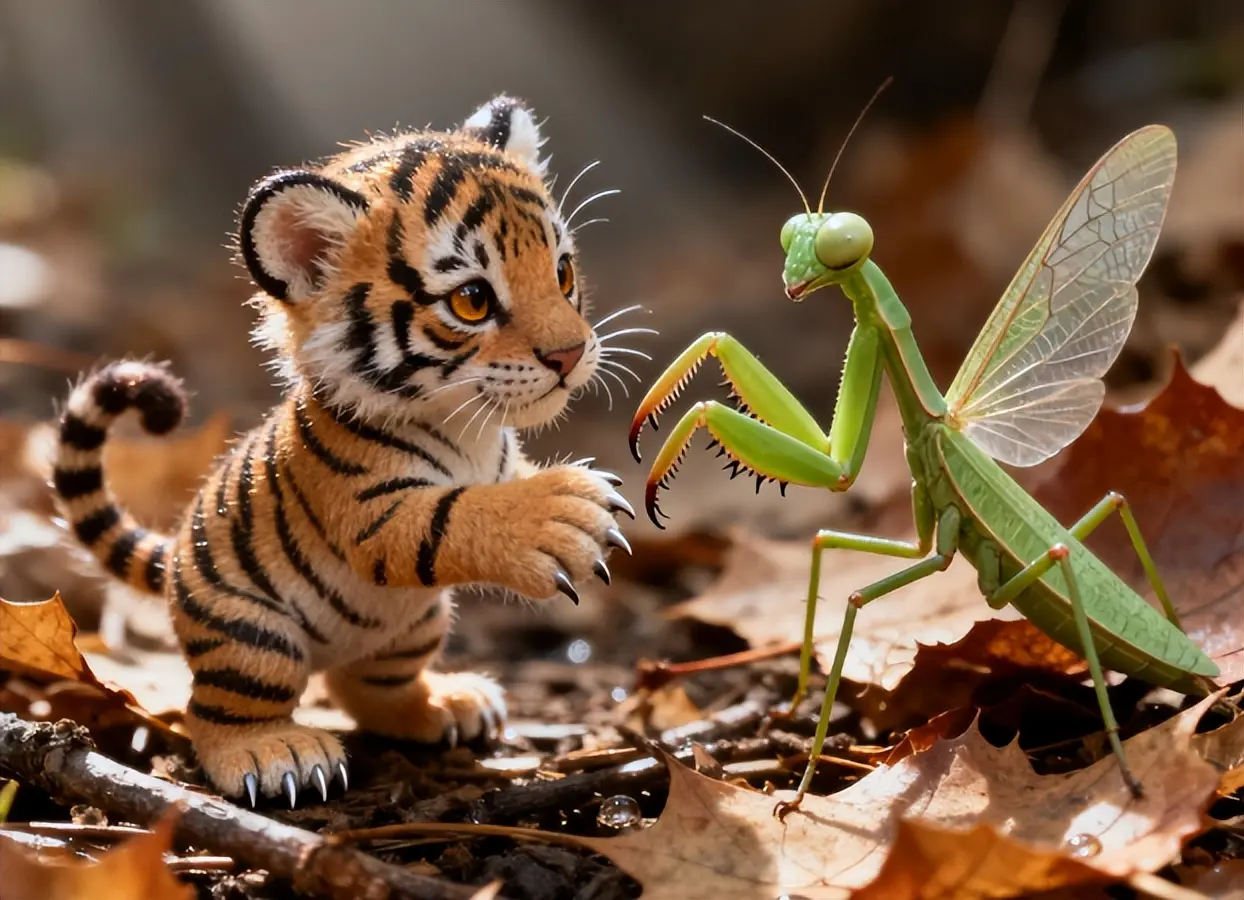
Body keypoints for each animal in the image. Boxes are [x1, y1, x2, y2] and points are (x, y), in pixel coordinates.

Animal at [49, 96, 637, 807]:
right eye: (472, 300)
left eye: (562, 272)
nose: (571, 354)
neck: (469, 429)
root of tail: (179, 558)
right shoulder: (370, 513)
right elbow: (453, 514)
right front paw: (565, 514)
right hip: (251, 635)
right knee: (213, 714)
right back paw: (275, 752)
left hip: (414, 625)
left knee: (369, 688)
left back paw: (450, 705)